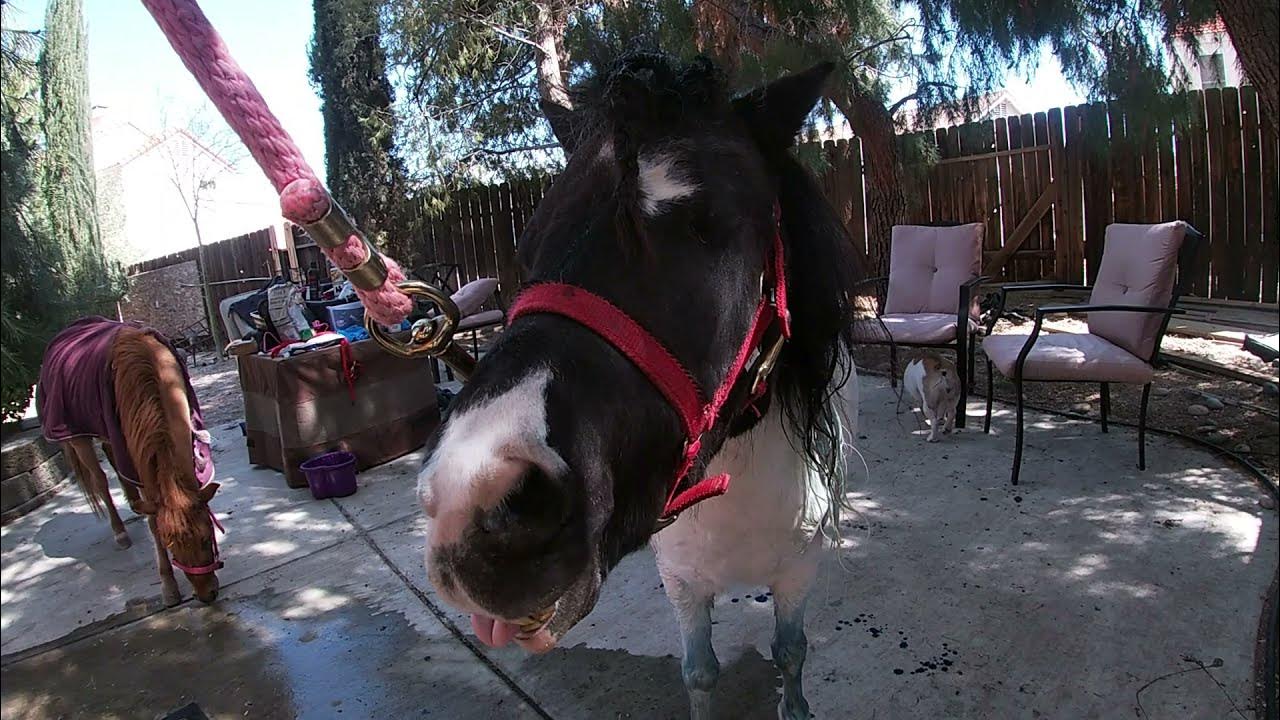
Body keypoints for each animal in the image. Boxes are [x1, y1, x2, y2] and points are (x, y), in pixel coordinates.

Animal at [37, 316, 223, 606]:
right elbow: (154, 522)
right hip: (78, 438)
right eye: (171, 547)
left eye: (206, 538)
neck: (154, 370)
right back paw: (120, 532)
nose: (207, 595)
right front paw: (169, 587)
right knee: (100, 481)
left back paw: (133, 503)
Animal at [416, 53, 862, 719]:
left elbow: (791, 653)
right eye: (530, 244)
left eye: (709, 226)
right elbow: (700, 672)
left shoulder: (799, 572)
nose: (472, 498)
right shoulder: (681, 581)